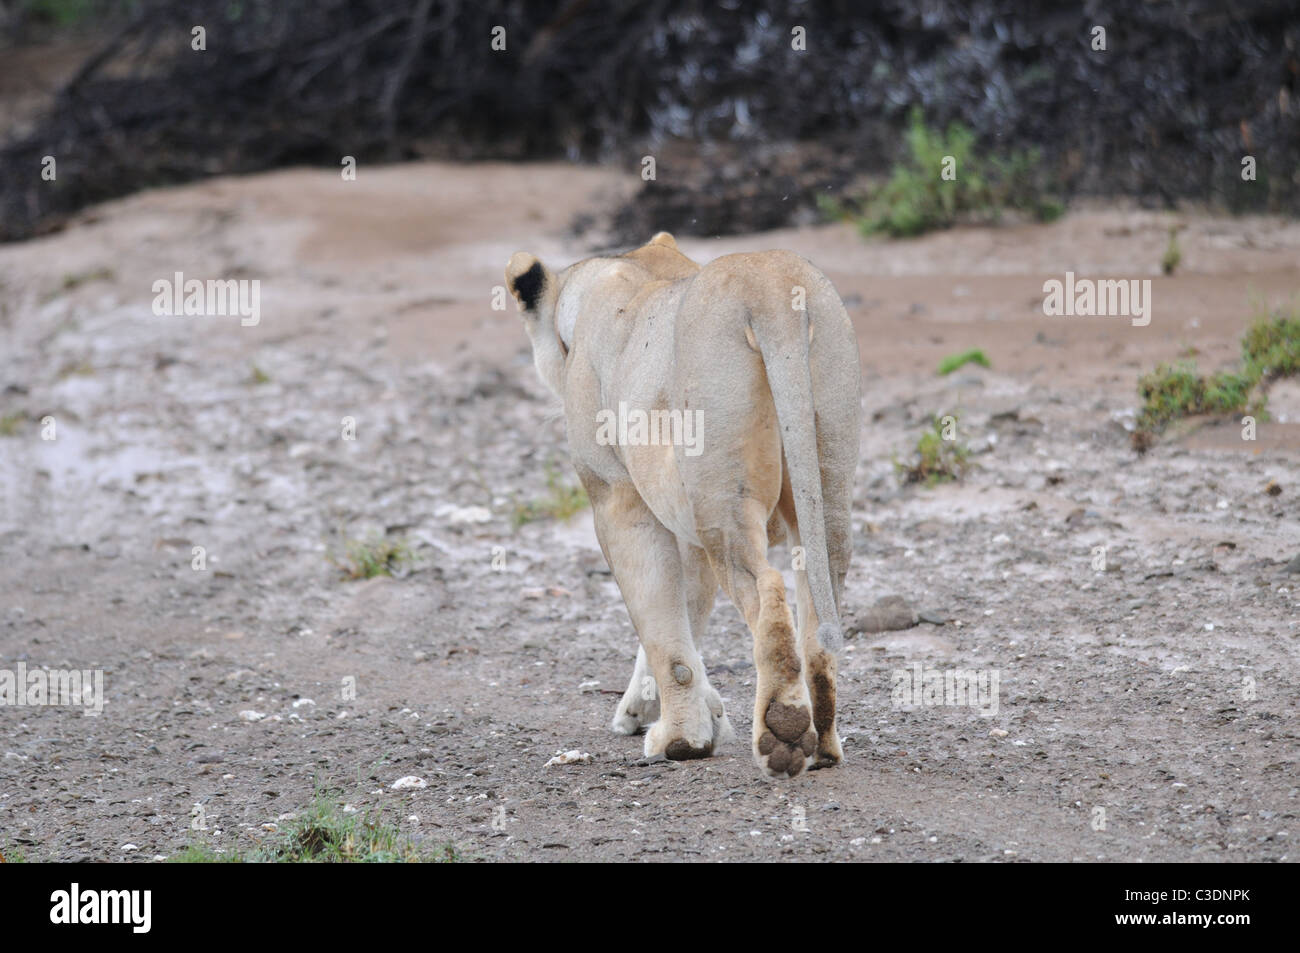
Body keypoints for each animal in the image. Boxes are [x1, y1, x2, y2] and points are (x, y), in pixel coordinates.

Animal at [505, 232, 860, 778]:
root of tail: (769, 281)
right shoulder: (684, 525)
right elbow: (685, 618)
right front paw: (677, 711)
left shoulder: (618, 499)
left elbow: (662, 630)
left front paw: (681, 738)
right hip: (825, 483)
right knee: (820, 607)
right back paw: (822, 742)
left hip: (723, 501)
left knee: (768, 591)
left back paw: (782, 731)